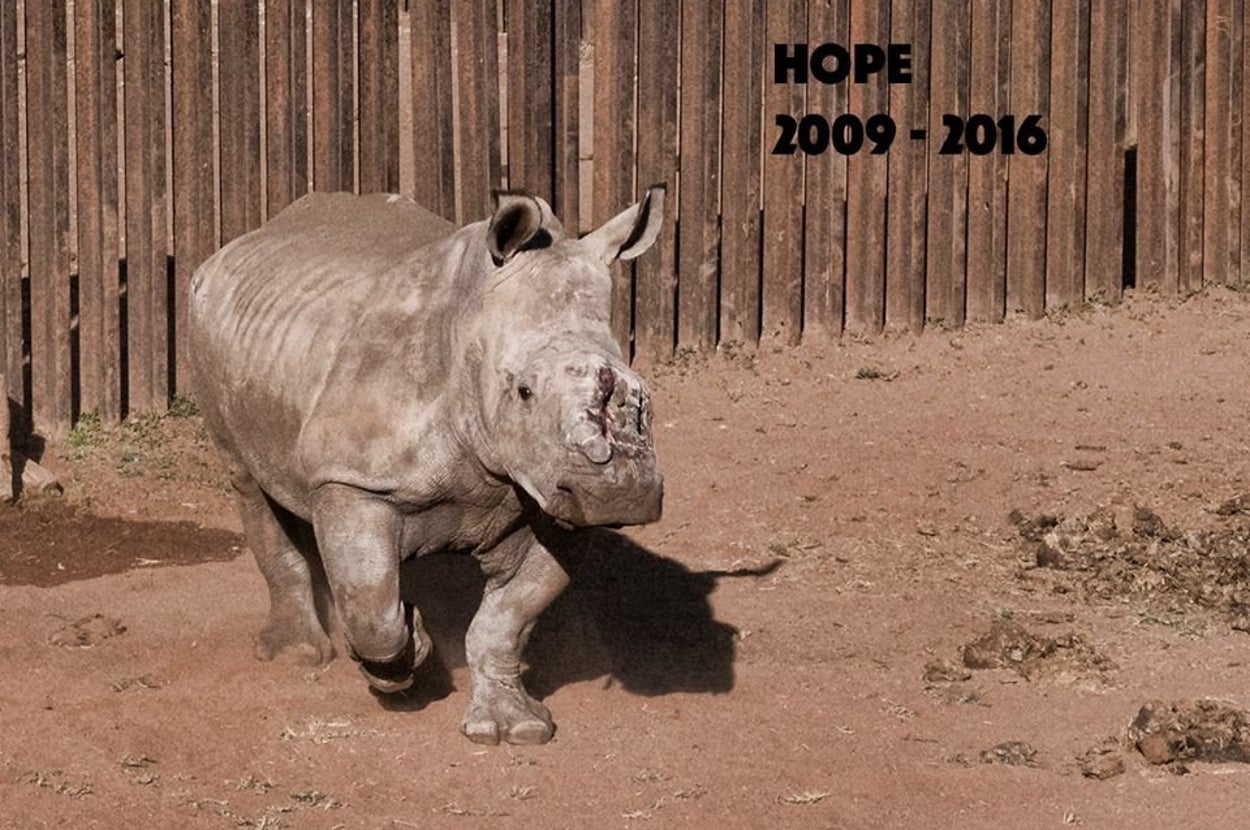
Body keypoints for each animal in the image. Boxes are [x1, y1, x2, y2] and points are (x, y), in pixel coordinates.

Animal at [187, 186, 666, 744]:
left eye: (643, 394)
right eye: (524, 391)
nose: (620, 494)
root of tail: (243, 240)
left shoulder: (555, 495)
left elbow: (506, 618)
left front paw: (516, 727)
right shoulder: (355, 479)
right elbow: (373, 610)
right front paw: (408, 653)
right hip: (206, 319)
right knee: (246, 479)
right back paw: (298, 655)